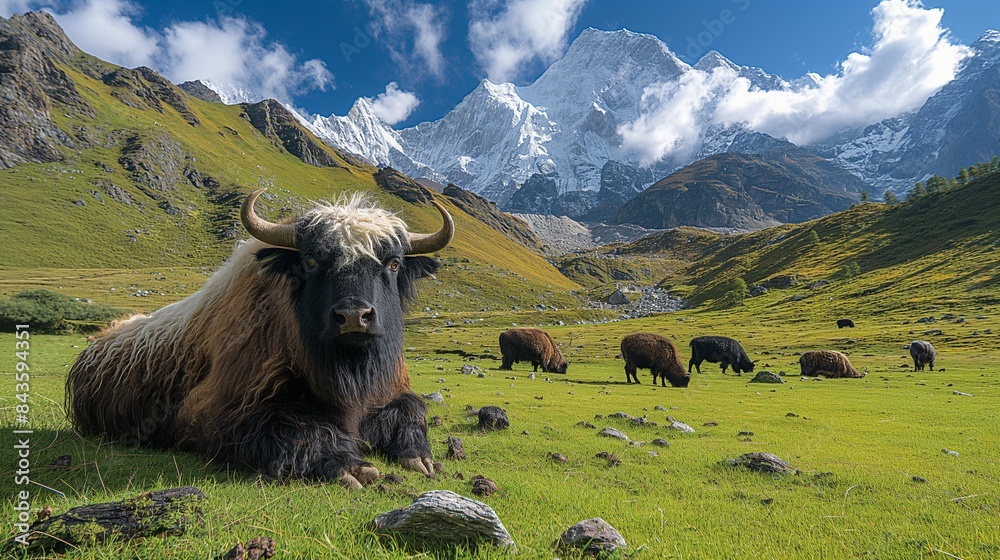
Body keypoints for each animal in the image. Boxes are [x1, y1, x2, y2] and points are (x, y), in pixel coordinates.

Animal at [66, 189, 454, 488]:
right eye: (311, 261)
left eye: (392, 264)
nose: (354, 317)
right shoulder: (213, 410)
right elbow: (295, 427)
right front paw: (351, 467)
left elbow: (411, 408)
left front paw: (419, 458)